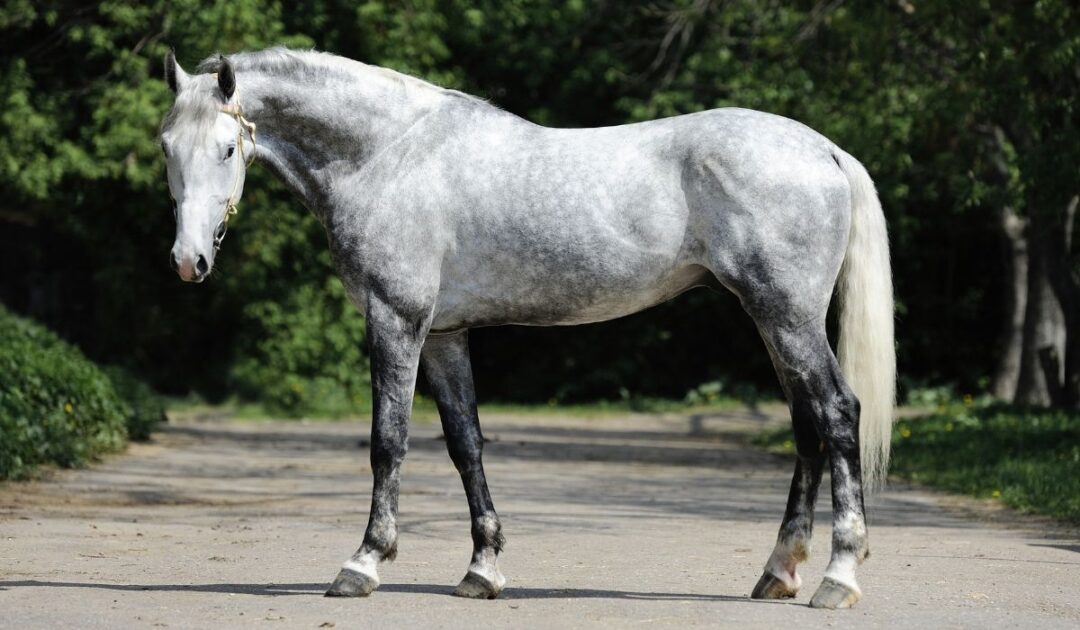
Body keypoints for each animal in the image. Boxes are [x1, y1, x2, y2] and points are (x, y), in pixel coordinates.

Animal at [159, 47, 895, 609]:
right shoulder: (445, 334)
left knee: (837, 413)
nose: (189, 262)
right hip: (774, 320)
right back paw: (778, 572)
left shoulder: (396, 319)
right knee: (806, 425)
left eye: (227, 148)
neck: (387, 155)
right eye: (167, 148)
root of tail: (825, 151)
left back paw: (837, 578)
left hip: (787, 315)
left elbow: (387, 443)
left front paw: (363, 563)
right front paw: (481, 570)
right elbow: (466, 445)